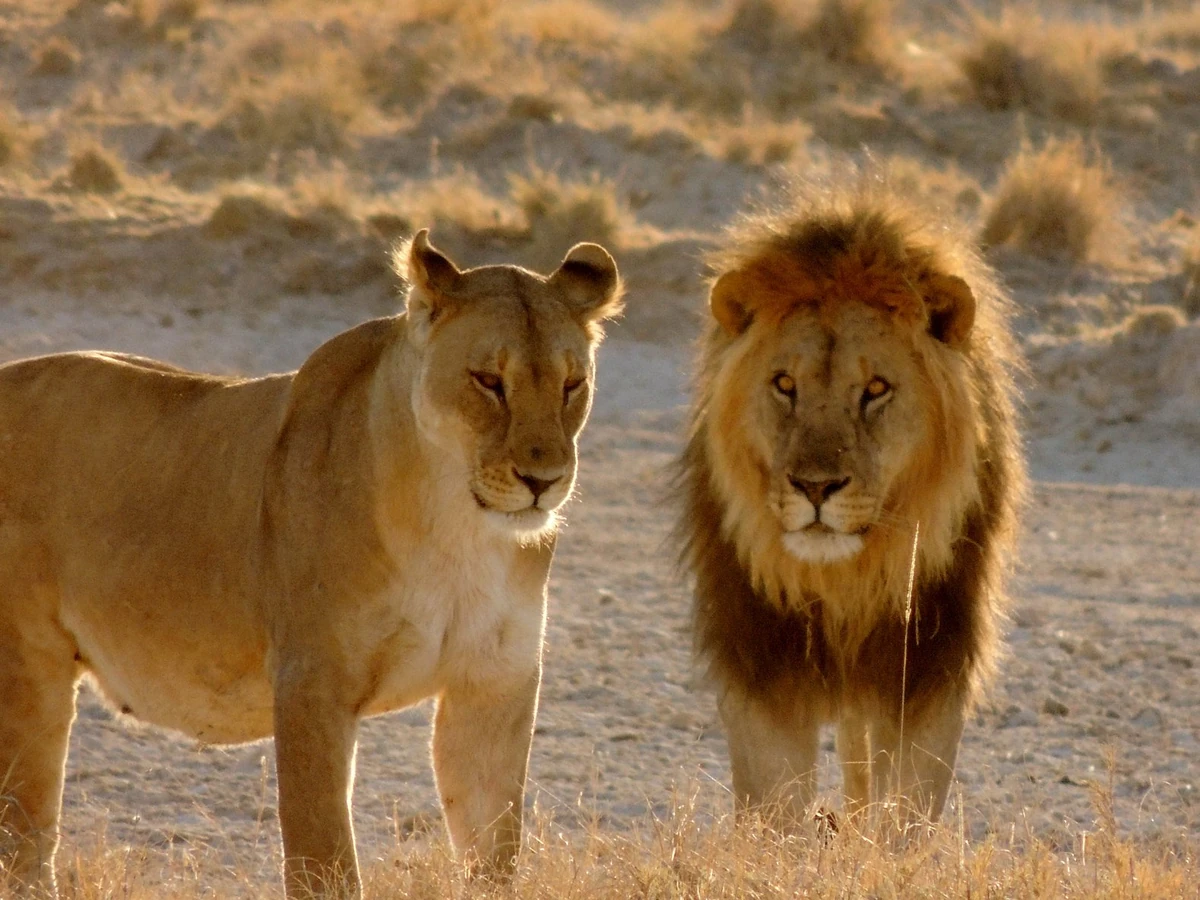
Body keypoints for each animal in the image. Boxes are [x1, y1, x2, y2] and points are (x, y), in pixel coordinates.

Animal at [0, 230, 623, 897]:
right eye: (488, 381)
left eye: (572, 384)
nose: (544, 480)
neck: (458, 531)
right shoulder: (311, 683)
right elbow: (324, 860)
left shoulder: (494, 682)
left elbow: (493, 851)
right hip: (28, 673)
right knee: (25, 842)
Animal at [674, 169, 1025, 834]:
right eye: (785, 384)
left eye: (876, 389)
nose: (815, 487)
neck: (847, 579)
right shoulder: (762, 659)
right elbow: (776, 806)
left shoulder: (927, 665)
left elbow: (905, 811)